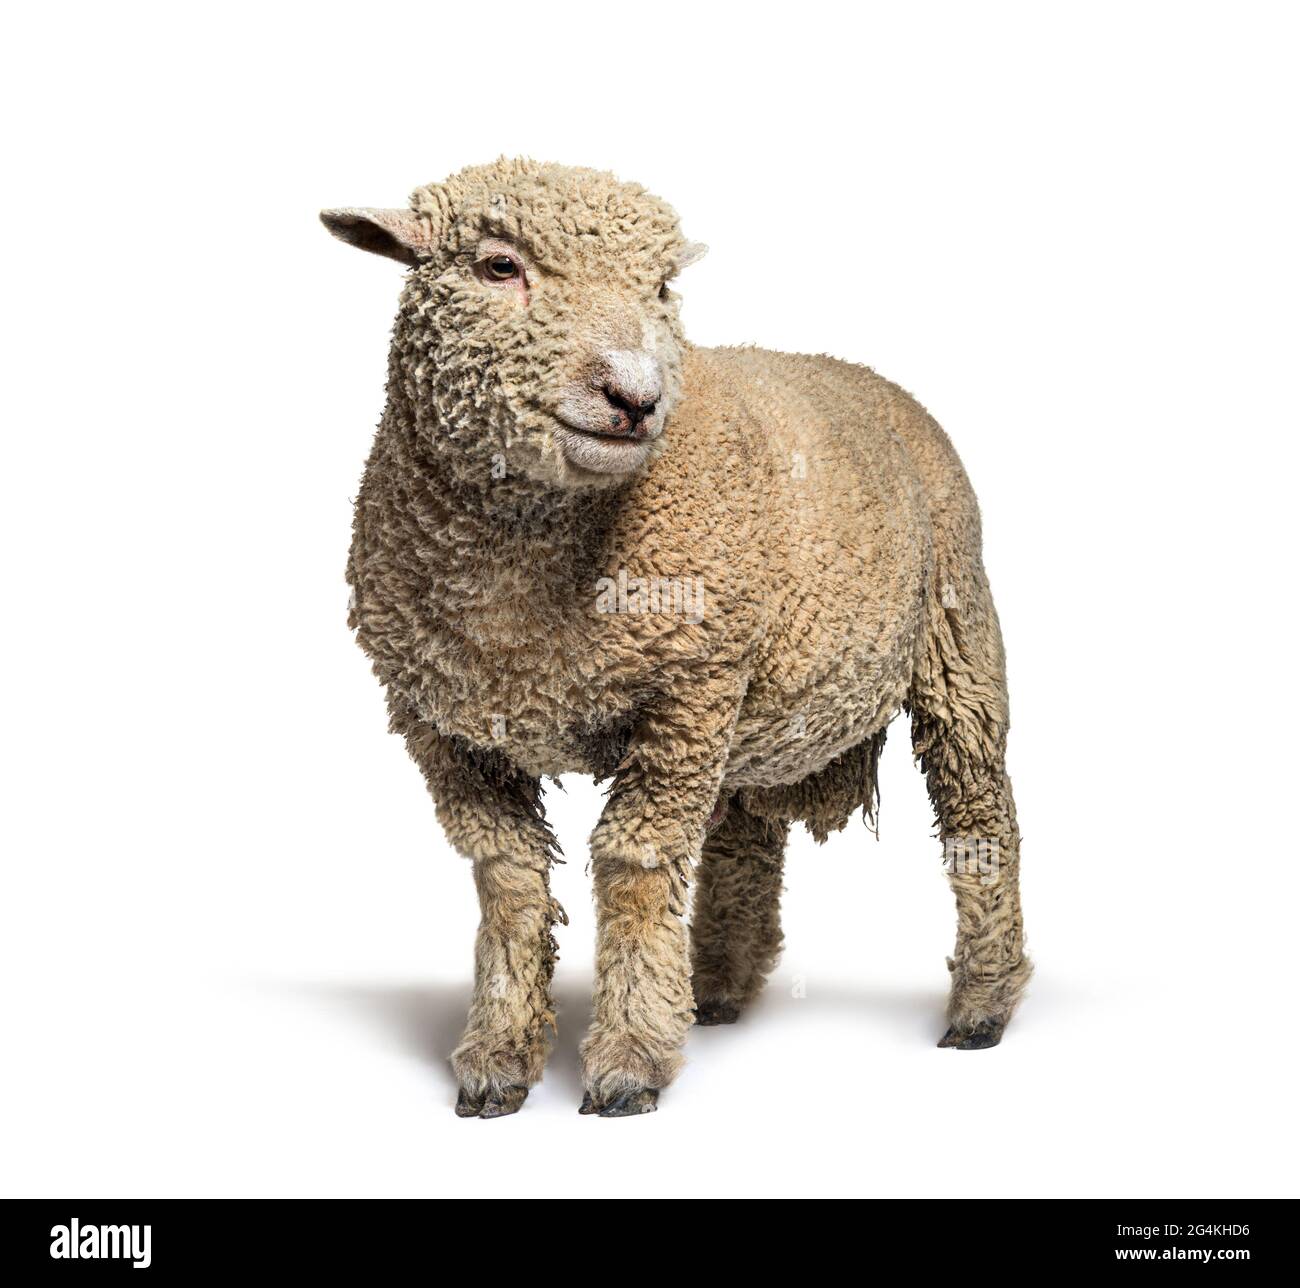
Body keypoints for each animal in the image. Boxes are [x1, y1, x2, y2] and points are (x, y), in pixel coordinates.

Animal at [321, 158, 1031, 1118]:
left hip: (954, 639)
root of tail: (861, 372)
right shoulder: (442, 724)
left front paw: (628, 1061)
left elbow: (635, 861)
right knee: (744, 839)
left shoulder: (686, 688)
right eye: (499, 265)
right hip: (752, 704)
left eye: (661, 288)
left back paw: (982, 1004)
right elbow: (506, 878)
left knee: (981, 817)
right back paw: (719, 988)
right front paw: (498, 1059)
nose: (636, 398)